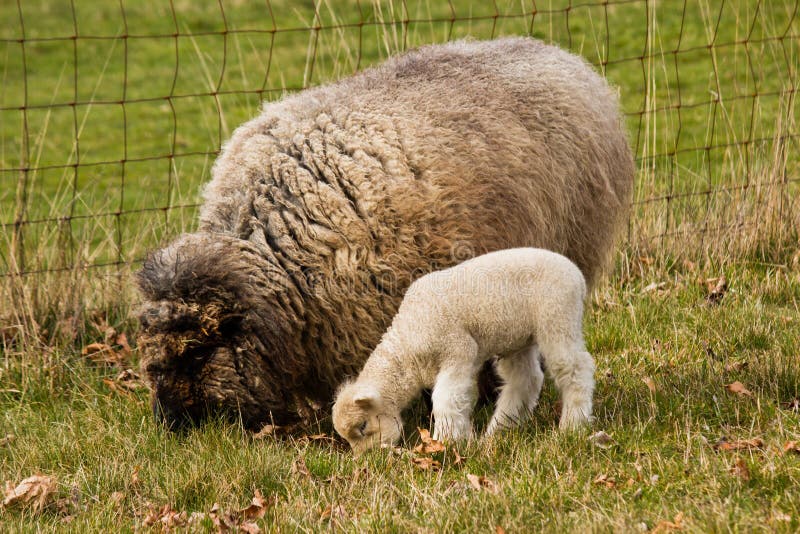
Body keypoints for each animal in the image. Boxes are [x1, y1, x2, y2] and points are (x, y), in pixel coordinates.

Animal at [332, 247, 593, 452]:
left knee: (575, 370)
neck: (407, 347)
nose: (367, 458)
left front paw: (444, 441)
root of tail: (576, 274)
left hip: (558, 318)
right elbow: (460, 400)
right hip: (518, 339)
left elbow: (446, 399)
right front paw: (463, 437)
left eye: (363, 427)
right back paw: (499, 429)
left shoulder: (458, 351)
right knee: (526, 379)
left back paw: (573, 425)